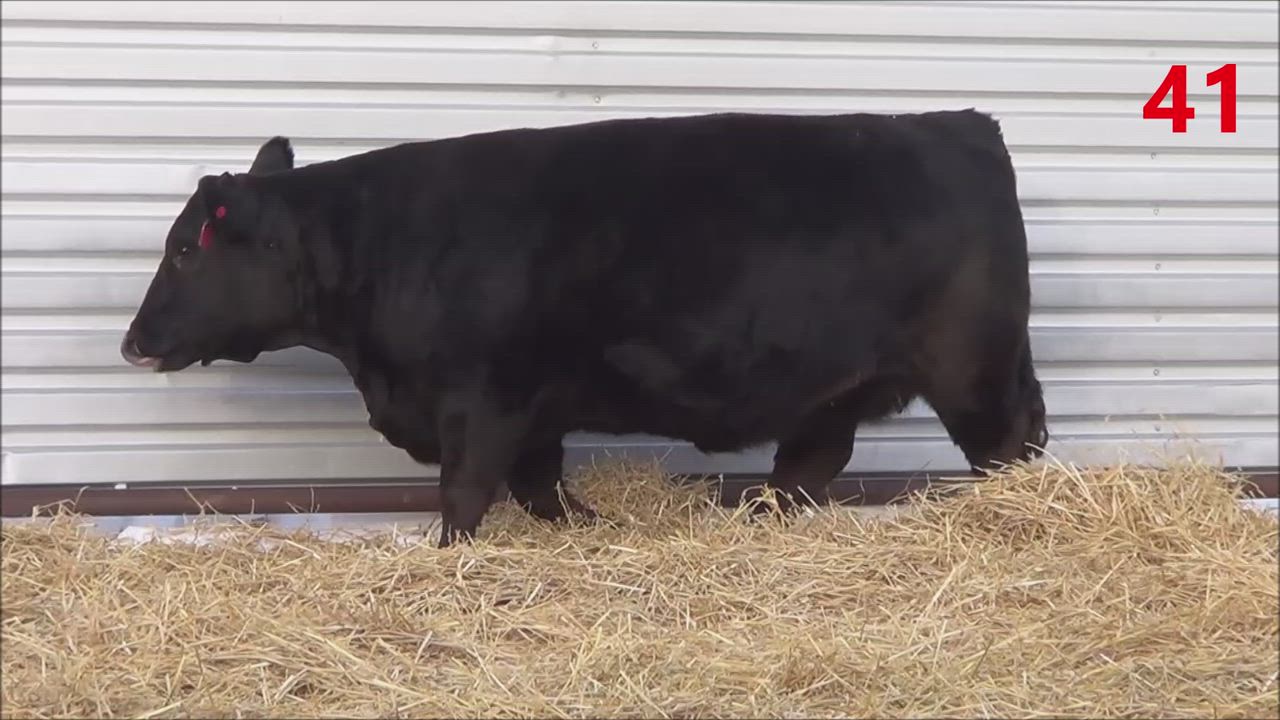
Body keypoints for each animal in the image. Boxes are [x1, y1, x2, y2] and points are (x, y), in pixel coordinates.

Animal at [120, 110, 1049, 547]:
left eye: (183, 250)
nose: (131, 343)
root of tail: (964, 124)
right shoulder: (531, 408)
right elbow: (540, 486)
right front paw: (589, 528)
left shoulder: (481, 399)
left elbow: (466, 491)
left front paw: (448, 553)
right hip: (840, 386)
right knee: (813, 460)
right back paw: (755, 521)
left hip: (970, 366)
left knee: (1008, 448)